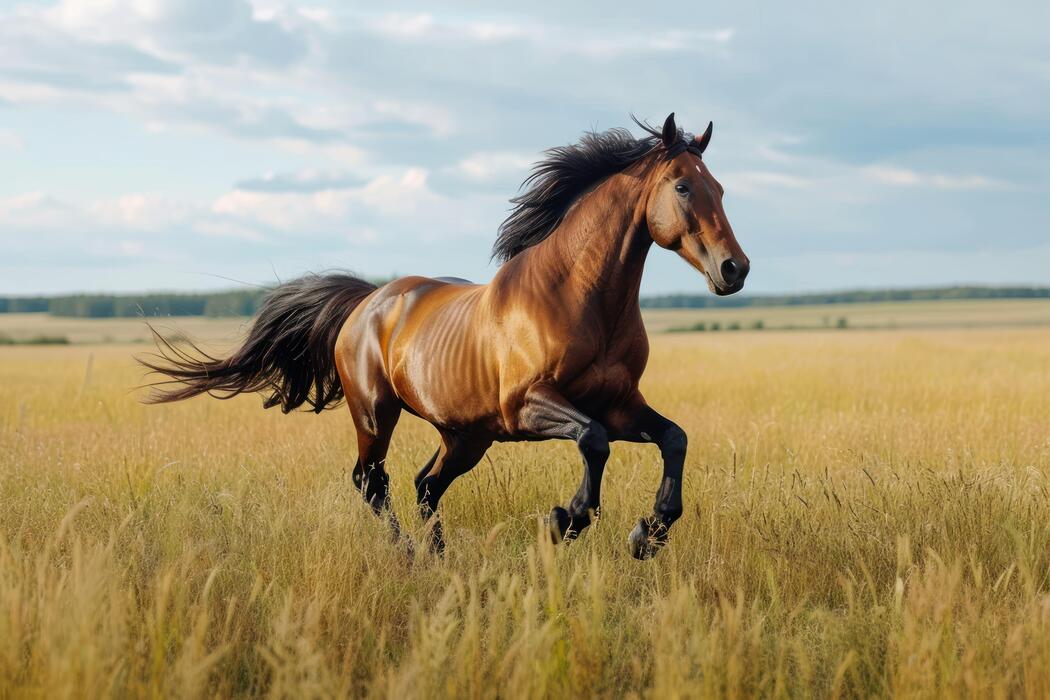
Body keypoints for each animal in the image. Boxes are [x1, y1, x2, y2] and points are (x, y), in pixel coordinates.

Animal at [140, 113, 750, 559]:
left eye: (720, 188)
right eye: (683, 187)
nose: (734, 269)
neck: (580, 298)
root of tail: (366, 303)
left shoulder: (620, 404)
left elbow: (673, 439)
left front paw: (650, 532)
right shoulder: (528, 405)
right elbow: (593, 441)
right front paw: (565, 521)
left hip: (466, 436)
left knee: (425, 485)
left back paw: (438, 555)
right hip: (376, 415)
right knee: (372, 481)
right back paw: (410, 554)